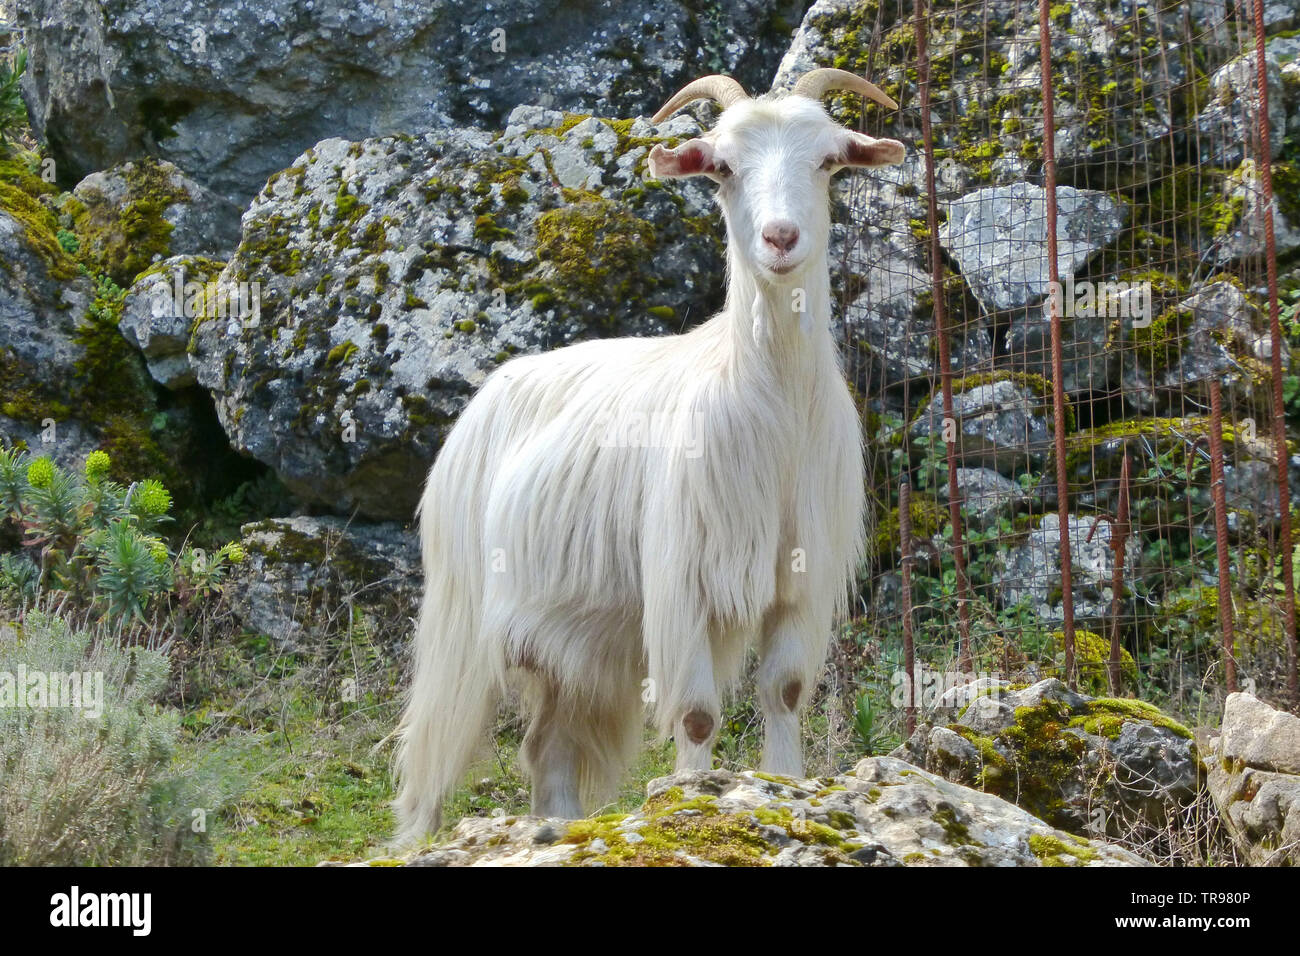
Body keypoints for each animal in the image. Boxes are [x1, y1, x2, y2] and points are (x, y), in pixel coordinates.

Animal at [393, 69, 905, 844]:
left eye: (827, 161)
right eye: (722, 168)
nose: (780, 238)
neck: (773, 412)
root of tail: (487, 398)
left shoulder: (800, 582)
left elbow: (783, 692)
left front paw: (786, 789)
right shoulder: (681, 580)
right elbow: (696, 713)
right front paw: (692, 802)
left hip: (577, 642)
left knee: (546, 748)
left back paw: (557, 827)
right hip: (461, 613)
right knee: (432, 755)